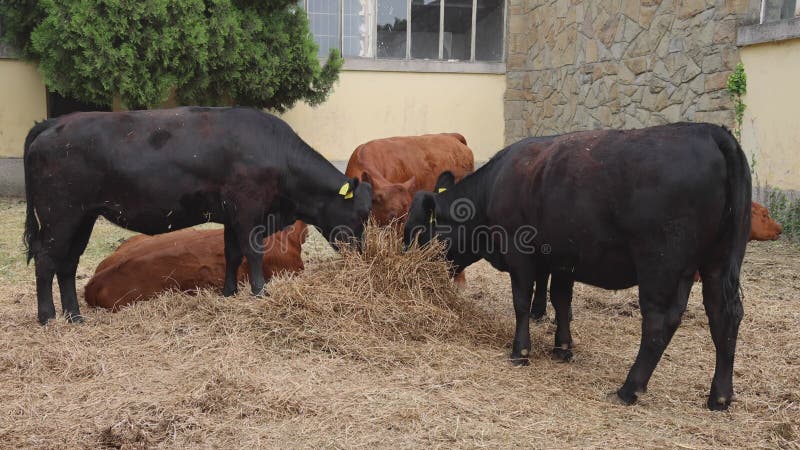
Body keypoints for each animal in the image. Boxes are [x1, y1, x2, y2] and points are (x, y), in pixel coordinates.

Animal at [403, 123, 751, 410]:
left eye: (419, 232)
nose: (404, 266)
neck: (494, 186)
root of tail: (709, 131)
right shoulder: (562, 259)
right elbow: (561, 301)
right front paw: (562, 348)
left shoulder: (520, 252)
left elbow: (522, 302)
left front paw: (520, 352)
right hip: (716, 262)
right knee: (724, 316)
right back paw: (720, 396)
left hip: (661, 265)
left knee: (659, 322)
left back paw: (629, 389)